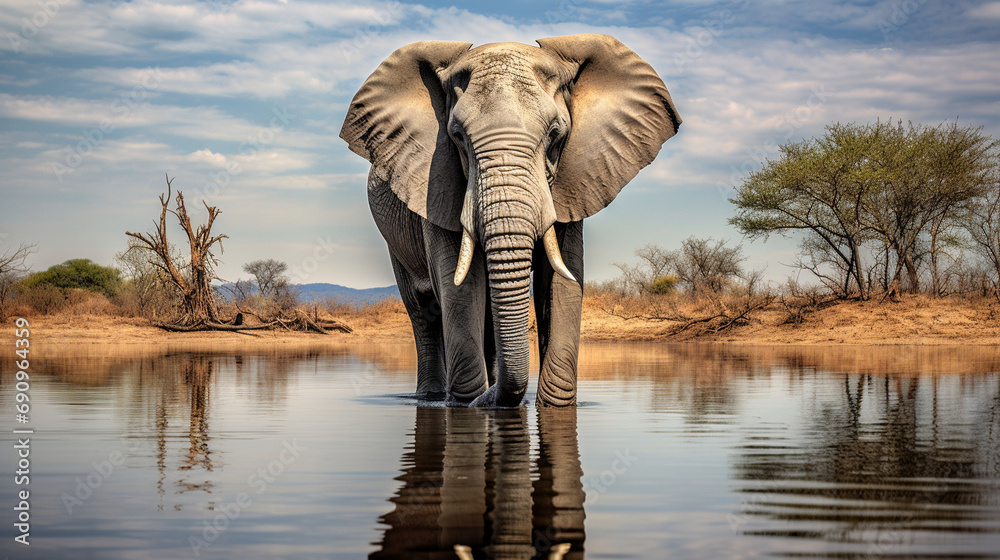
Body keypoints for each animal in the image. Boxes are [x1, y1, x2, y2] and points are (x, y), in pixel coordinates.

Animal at [340, 34, 681, 407]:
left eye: (555, 135)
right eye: (457, 136)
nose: (491, 399)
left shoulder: (572, 179)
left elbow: (561, 280)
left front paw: (554, 405)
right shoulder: (434, 182)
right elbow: (458, 287)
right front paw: (466, 403)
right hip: (396, 241)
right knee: (423, 311)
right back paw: (434, 396)